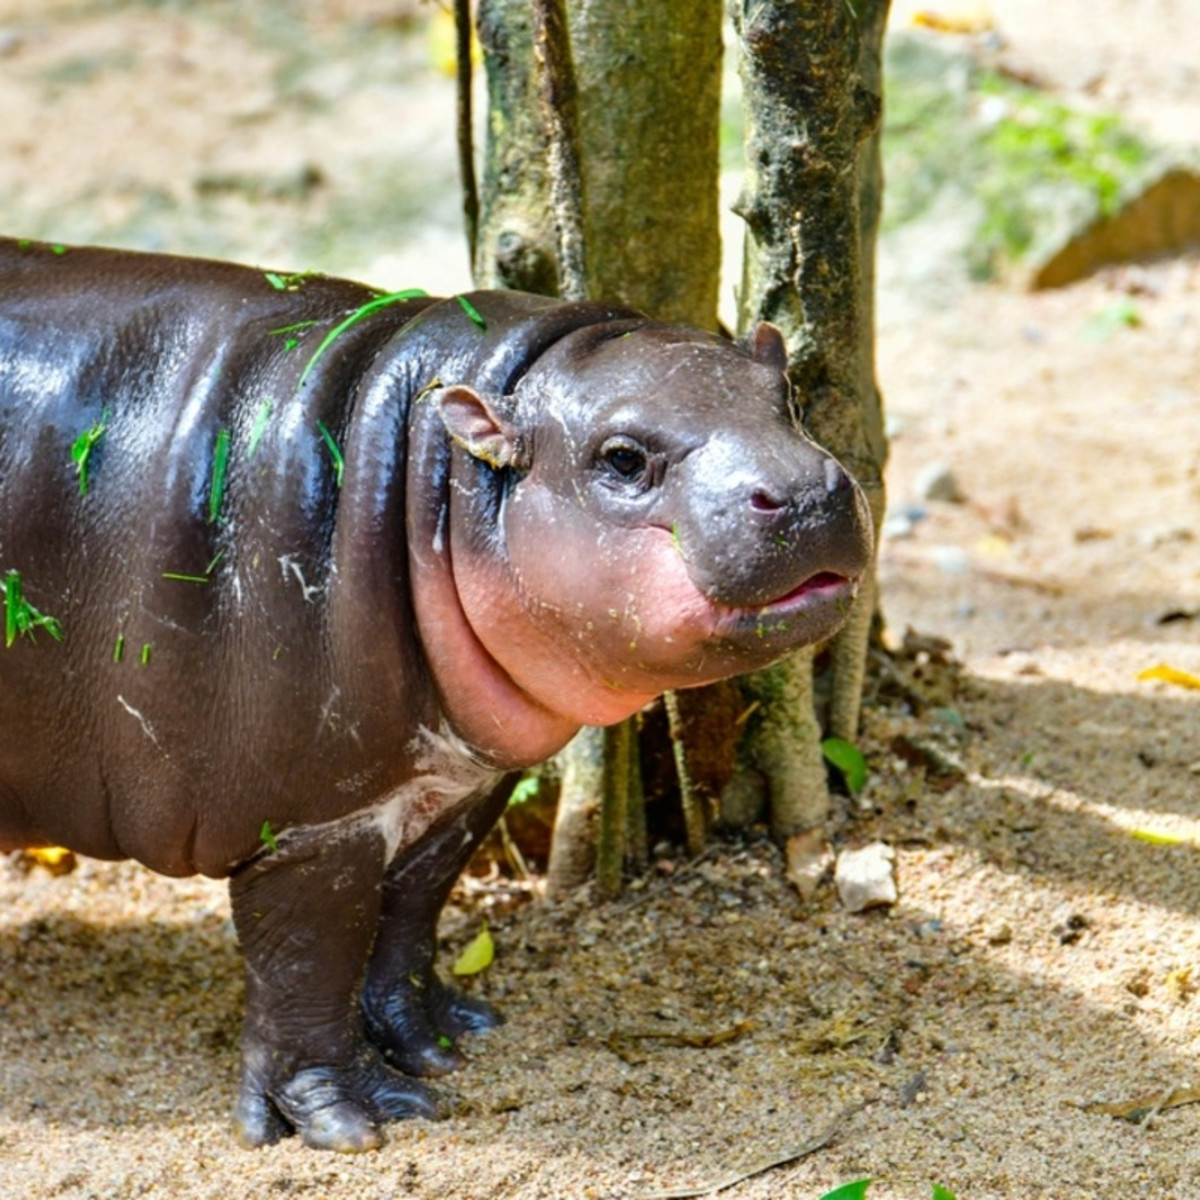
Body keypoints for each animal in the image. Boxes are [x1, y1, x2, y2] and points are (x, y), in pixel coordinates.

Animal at [0, 237, 872, 1151]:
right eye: (623, 457)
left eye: (788, 395)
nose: (808, 492)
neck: (434, 470)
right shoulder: (311, 823)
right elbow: (308, 965)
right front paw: (350, 1119)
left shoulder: (457, 787)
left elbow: (409, 919)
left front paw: (442, 1041)